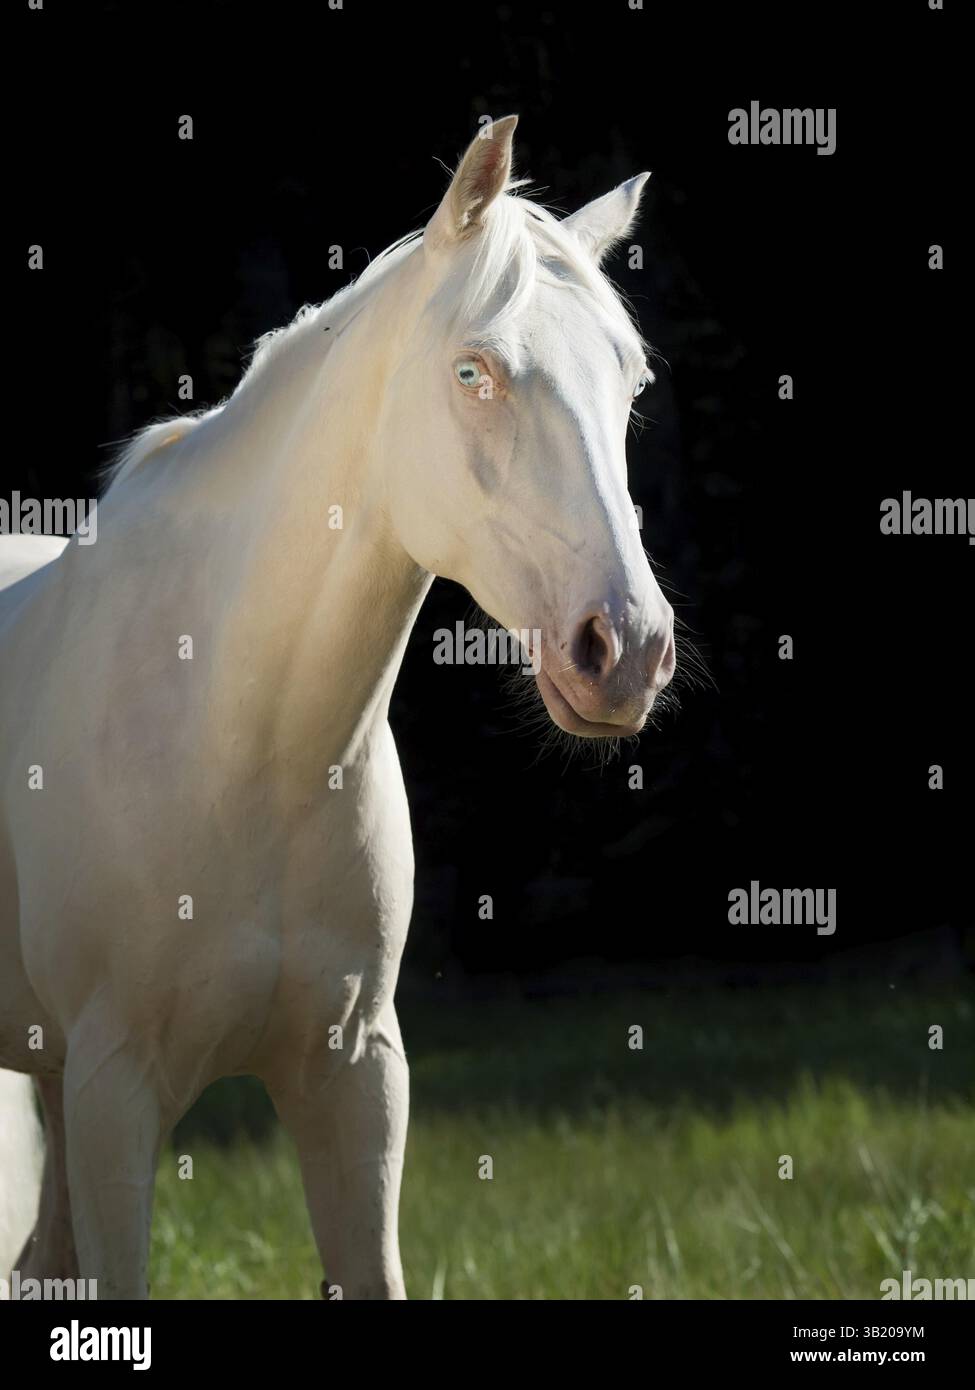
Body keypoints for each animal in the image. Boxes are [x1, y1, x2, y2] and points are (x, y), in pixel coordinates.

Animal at [0, 116, 676, 1299]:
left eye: (630, 382)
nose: (626, 649)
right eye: (473, 371)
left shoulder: (355, 1077)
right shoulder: (114, 1085)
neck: (233, 739)